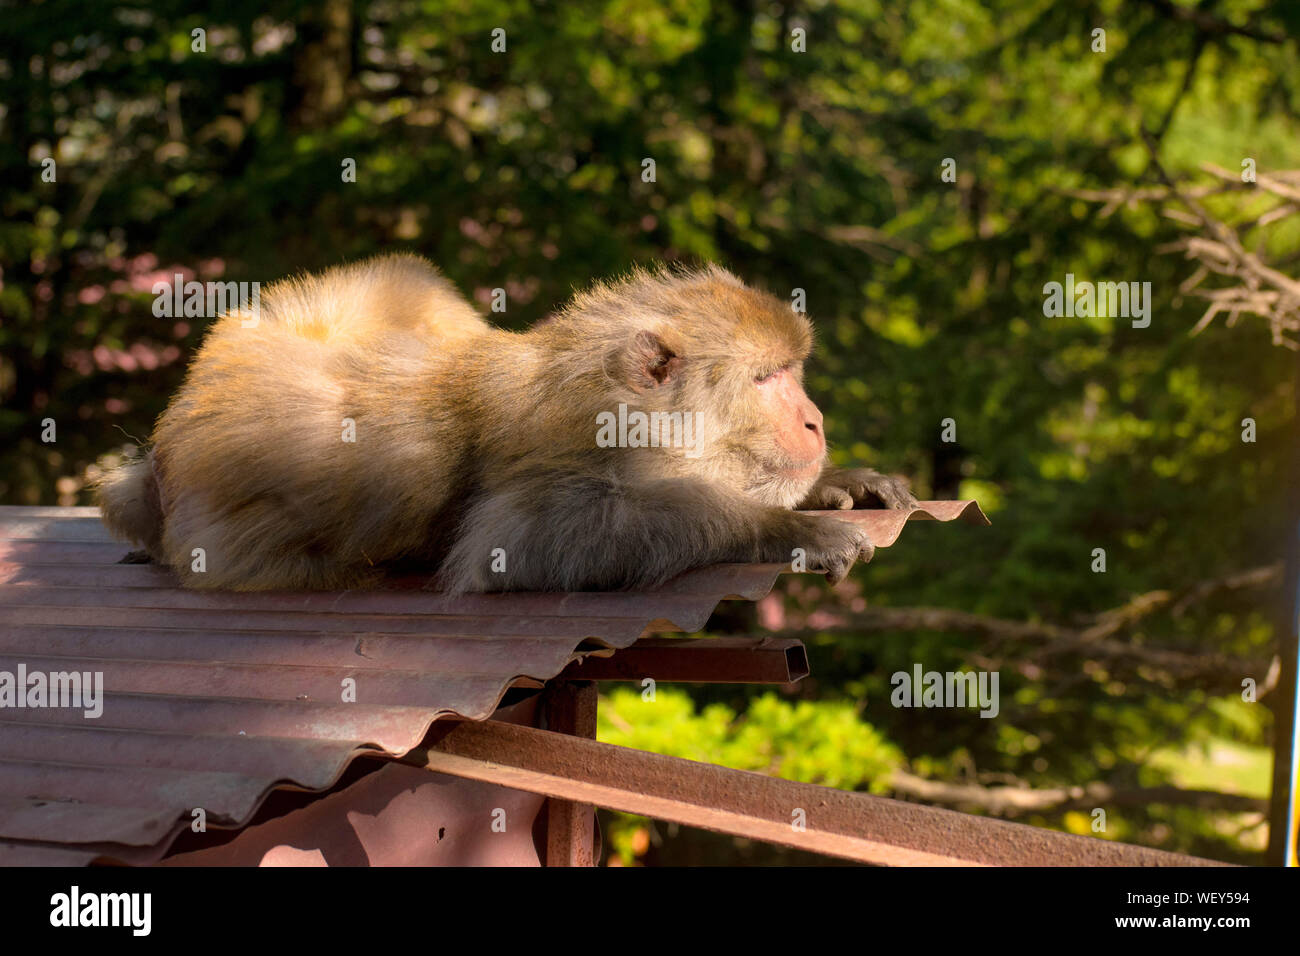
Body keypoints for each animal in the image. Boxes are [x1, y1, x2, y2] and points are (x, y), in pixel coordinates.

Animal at [96, 253, 916, 592]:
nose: (814, 423)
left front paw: (837, 485)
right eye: (765, 378)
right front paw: (782, 527)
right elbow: (526, 544)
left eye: (792, 371)